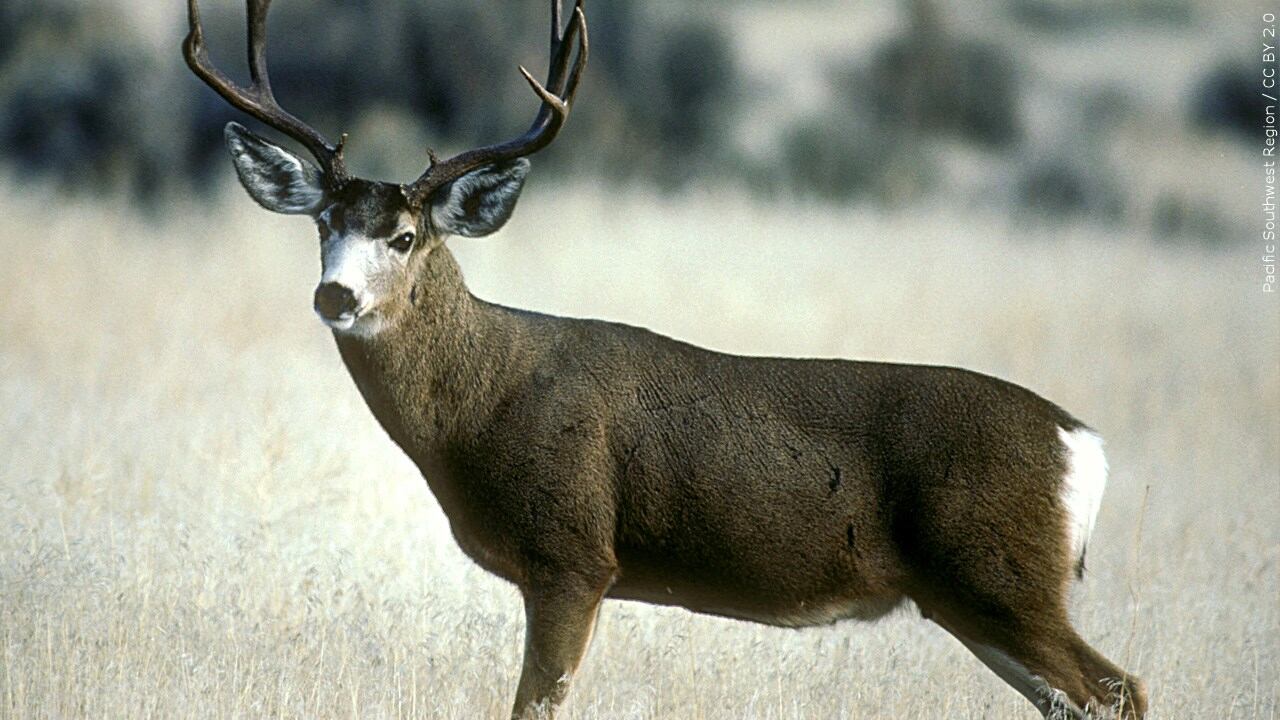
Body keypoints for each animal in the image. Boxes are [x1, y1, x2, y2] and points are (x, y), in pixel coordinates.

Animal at [183, 1, 1147, 718]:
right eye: (323, 223)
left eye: (406, 236)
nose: (335, 296)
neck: (482, 403)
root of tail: (1084, 444)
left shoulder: (573, 554)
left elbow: (533, 704)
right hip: (976, 594)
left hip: (1000, 575)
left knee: (1118, 688)